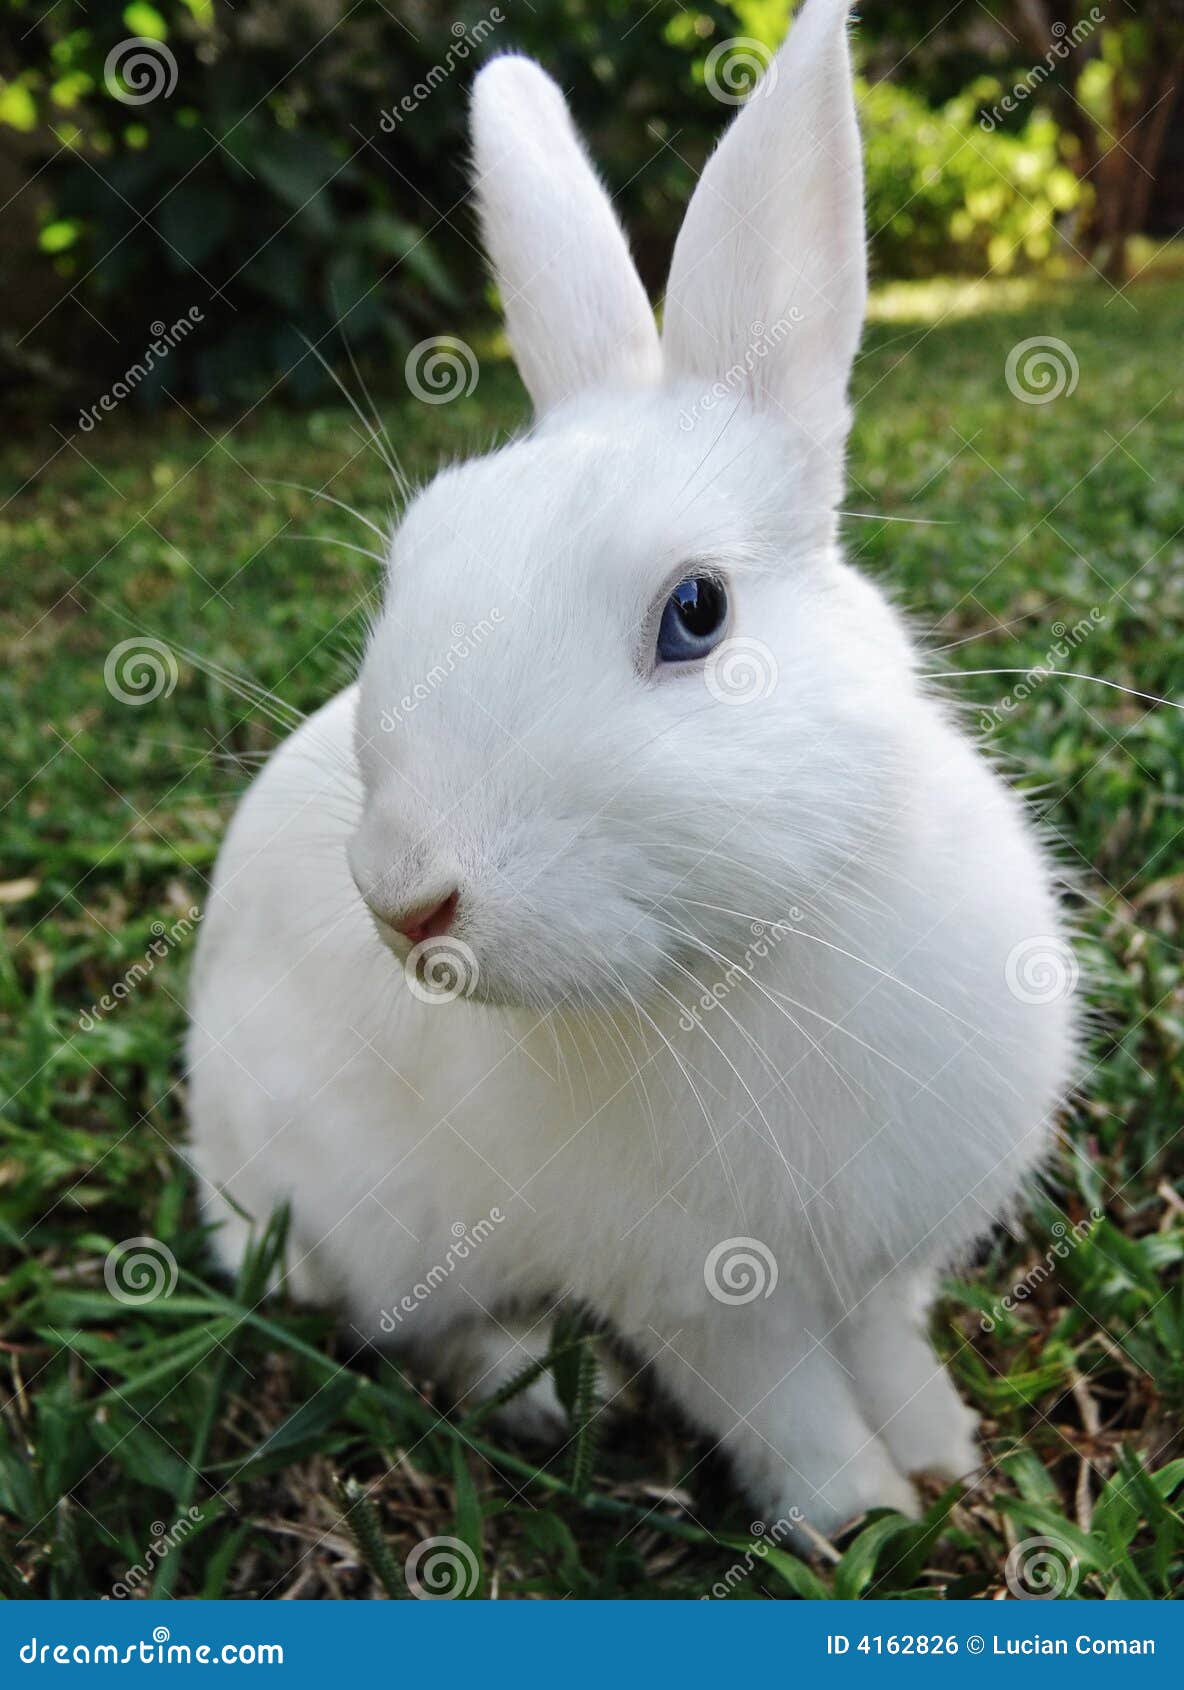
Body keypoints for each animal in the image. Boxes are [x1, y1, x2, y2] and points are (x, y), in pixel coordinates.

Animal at [186, 0, 1078, 1539]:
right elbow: (786, 1413)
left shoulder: (876, 1262)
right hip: (367, 1216)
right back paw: (541, 1391)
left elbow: (885, 1351)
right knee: (409, 1321)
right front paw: (860, 1517)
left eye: (696, 612)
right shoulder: (710, 1304)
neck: (746, 950)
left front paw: (942, 1456)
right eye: (412, 567)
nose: (404, 902)